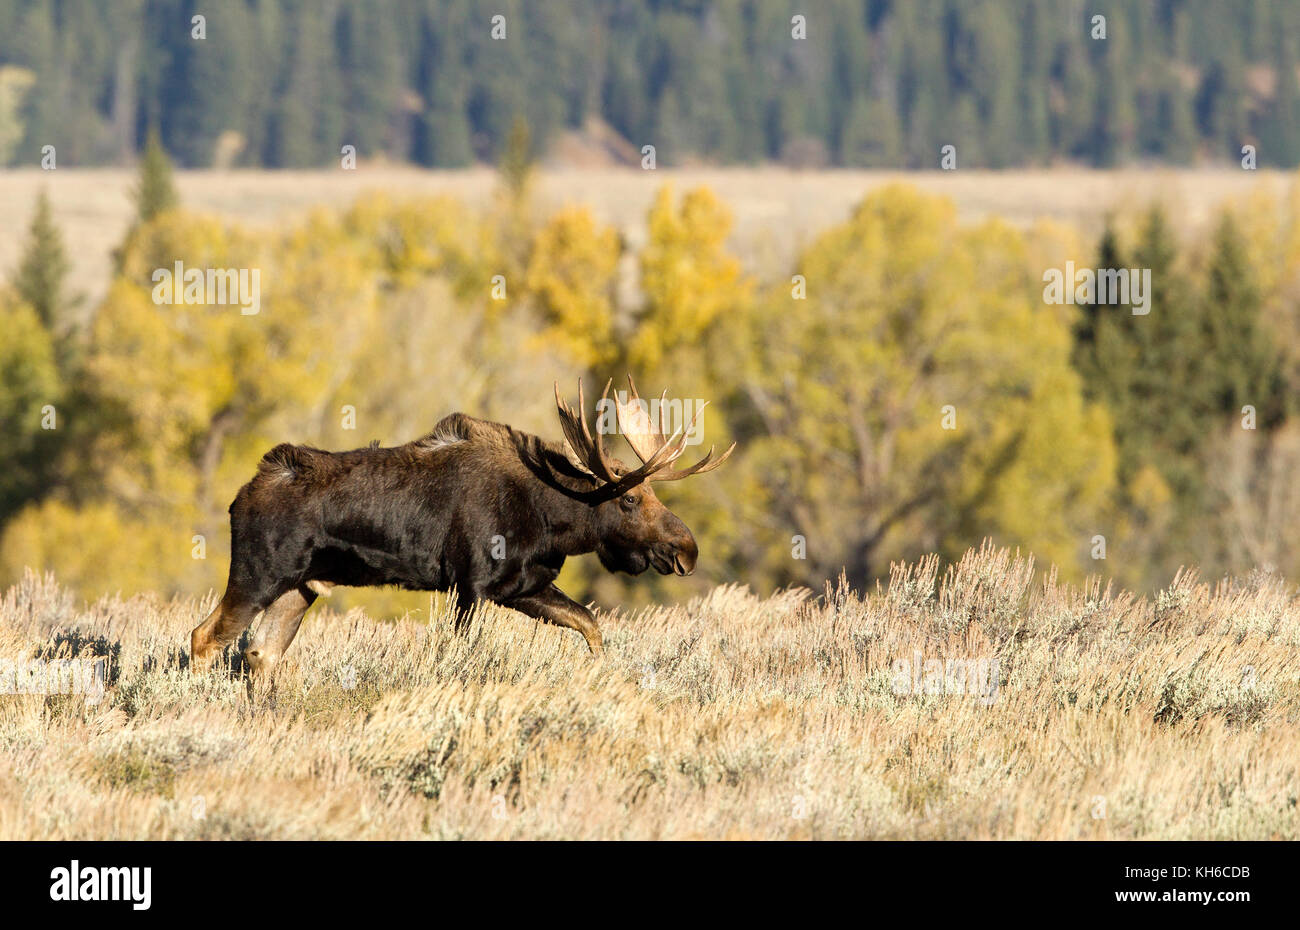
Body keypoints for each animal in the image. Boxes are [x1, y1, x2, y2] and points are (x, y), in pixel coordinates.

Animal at [189, 377, 734, 675]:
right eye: (631, 499)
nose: (686, 550)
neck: (550, 520)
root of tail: (239, 496)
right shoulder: (470, 584)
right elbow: (459, 653)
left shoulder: (521, 586)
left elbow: (591, 626)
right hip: (257, 576)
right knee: (203, 638)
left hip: (299, 588)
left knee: (259, 653)